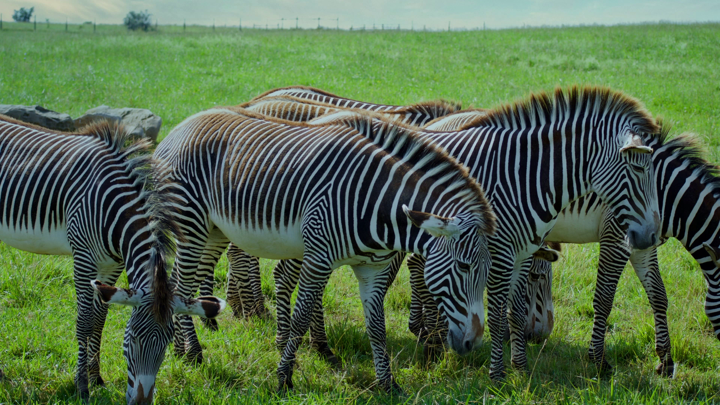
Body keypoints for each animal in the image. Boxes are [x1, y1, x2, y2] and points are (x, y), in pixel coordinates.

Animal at [0, 115, 225, 405]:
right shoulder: (83, 258)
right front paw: (82, 386)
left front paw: (96, 377)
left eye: (166, 343)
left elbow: (100, 317)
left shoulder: (111, 264)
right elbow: (84, 321)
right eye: (134, 338)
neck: (114, 211)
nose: (141, 402)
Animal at [153, 106, 496, 392]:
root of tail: (179, 127)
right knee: (182, 285)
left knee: (178, 284)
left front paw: (387, 384)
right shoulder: (319, 257)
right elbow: (302, 316)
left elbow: (377, 327)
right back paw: (194, 353)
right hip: (191, 225)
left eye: (486, 272)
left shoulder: (373, 269)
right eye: (463, 267)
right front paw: (284, 378)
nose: (473, 344)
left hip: (212, 230)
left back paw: (179, 348)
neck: (376, 202)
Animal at [304, 86, 663, 380]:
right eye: (638, 168)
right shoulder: (498, 254)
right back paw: (320, 348)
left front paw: (519, 369)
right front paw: (497, 374)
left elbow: (516, 312)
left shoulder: (522, 252)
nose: (649, 237)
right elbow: (498, 313)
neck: (522, 177)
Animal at [523, 131, 720, 376]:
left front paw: (666, 361)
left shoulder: (645, 245)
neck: (665, 193)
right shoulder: (615, 236)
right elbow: (604, 298)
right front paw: (598, 360)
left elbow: (658, 295)